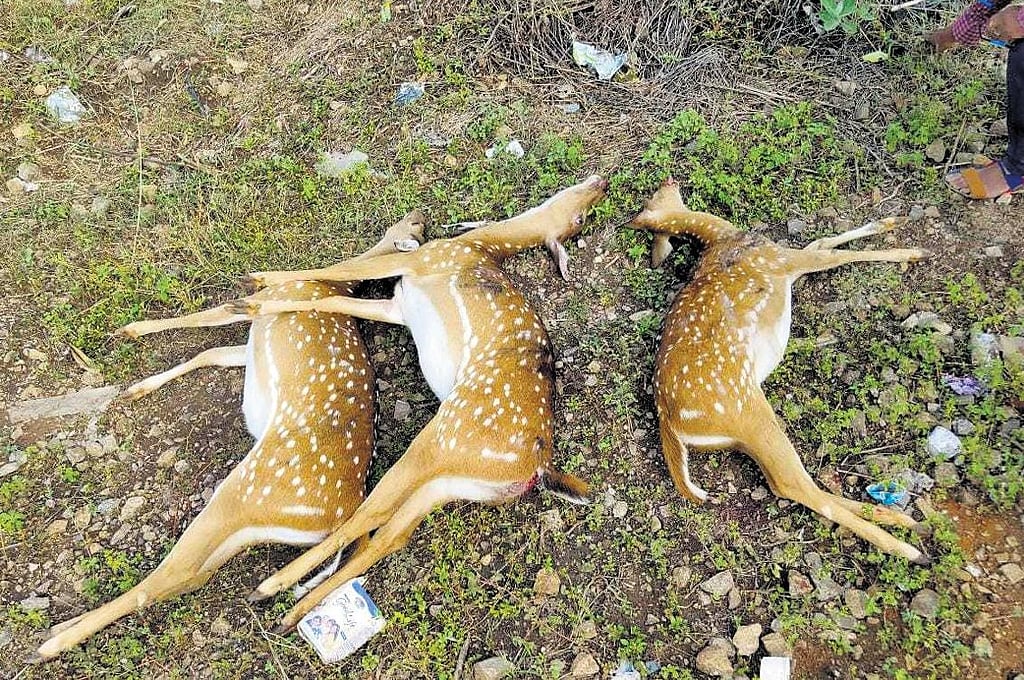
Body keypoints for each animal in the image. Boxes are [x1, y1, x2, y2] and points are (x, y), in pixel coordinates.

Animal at [35, 214, 425, 660]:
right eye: (412, 229)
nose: (419, 217)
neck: (326, 284)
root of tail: (339, 516)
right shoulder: (252, 341)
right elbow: (211, 355)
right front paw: (138, 387)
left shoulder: (261, 304)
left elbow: (209, 317)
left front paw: (130, 330)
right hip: (255, 519)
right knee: (192, 574)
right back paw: (62, 627)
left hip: (246, 491)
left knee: (173, 572)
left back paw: (51, 642)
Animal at [227, 174, 608, 633]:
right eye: (580, 217)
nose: (603, 183)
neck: (480, 246)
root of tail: (538, 469)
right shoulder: (399, 305)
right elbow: (337, 299)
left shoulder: (419, 262)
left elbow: (336, 276)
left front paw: (253, 290)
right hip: (451, 481)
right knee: (392, 535)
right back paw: (292, 614)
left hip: (440, 439)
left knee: (370, 514)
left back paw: (270, 588)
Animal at [629, 179, 932, 565]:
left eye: (649, 200)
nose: (669, 180)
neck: (725, 238)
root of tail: (669, 421)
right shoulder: (782, 260)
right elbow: (833, 255)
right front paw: (912, 252)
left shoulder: (788, 257)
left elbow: (821, 241)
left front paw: (890, 222)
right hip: (745, 408)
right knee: (791, 483)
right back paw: (910, 547)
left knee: (793, 482)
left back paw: (899, 517)